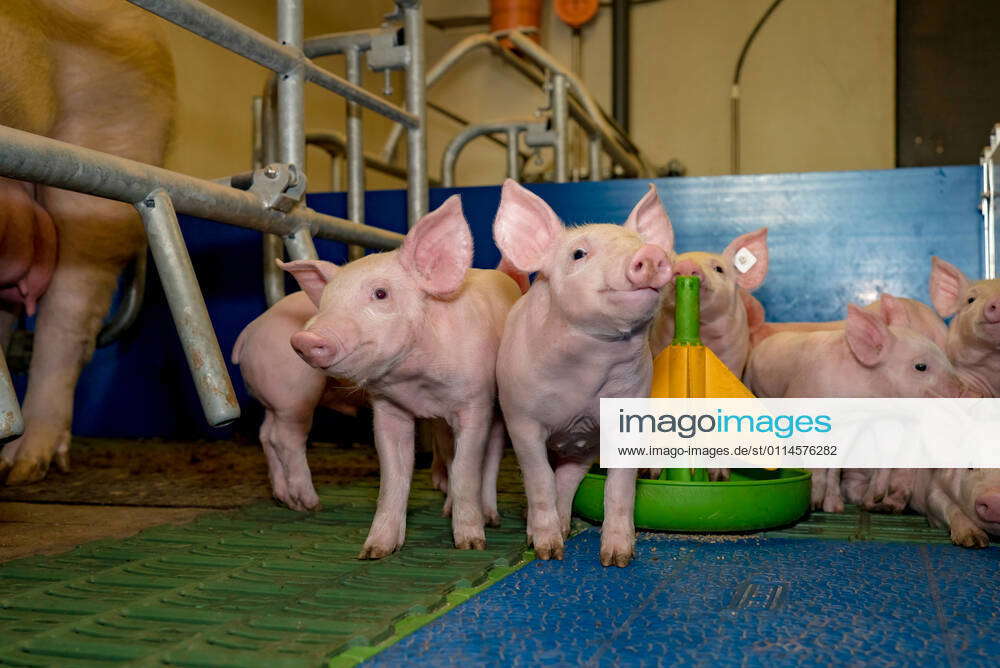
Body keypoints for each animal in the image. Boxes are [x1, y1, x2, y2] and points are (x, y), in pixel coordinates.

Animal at [234, 196, 522, 558]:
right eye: (326, 300)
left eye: (381, 293)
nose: (303, 339)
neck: (416, 382)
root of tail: (249, 331)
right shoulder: (388, 409)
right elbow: (393, 475)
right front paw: (373, 551)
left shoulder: (475, 401)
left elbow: (466, 468)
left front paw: (470, 544)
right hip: (288, 392)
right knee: (280, 436)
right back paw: (307, 503)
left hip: (286, 398)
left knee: (271, 435)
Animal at [493, 179, 674, 567]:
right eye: (578, 254)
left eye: (637, 243)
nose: (651, 254)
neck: (588, 372)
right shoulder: (522, 419)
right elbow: (539, 480)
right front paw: (547, 554)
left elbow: (619, 488)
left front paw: (616, 560)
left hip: (582, 450)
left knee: (567, 481)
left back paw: (565, 529)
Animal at [744, 296, 969, 513]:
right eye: (920, 366)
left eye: (943, 354)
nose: (962, 390)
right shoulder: (803, 406)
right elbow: (816, 463)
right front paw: (814, 504)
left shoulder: (851, 425)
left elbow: (835, 465)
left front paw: (835, 508)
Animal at [842, 468, 1000, 548]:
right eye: (970, 467)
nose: (995, 499)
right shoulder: (932, 489)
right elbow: (940, 502)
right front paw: (973, 541)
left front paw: (977, 541)